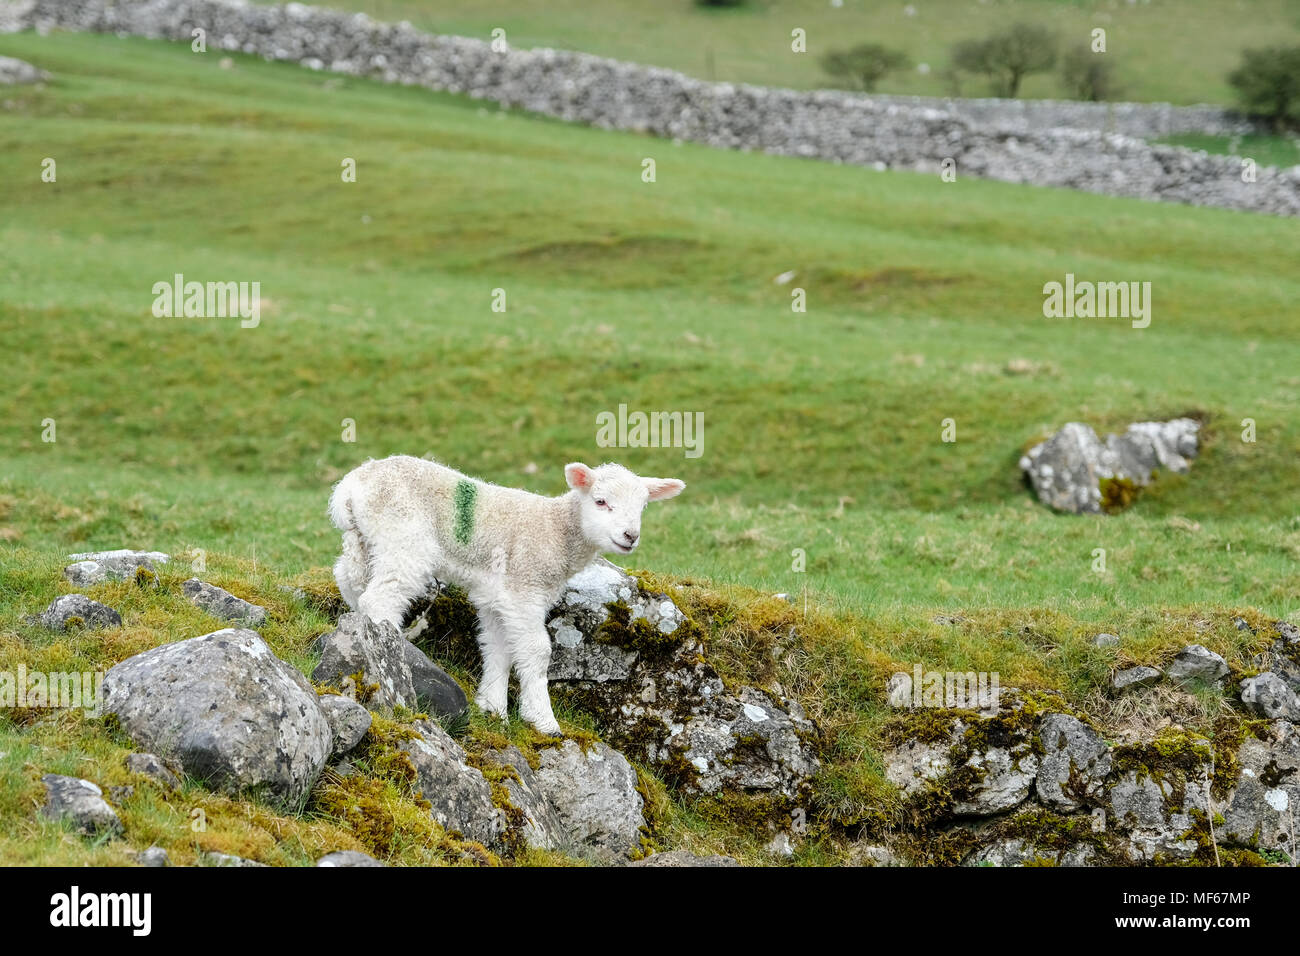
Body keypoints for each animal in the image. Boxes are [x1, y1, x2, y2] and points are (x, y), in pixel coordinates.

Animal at [329, 455, 685, 734]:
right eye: (600, 501)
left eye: (643, 507)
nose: (630, 536)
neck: (557, 531)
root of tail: (351, 486)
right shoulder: (523, 590)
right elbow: (537, 651)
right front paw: (543, 720)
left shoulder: (497, 597)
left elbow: (498, 649)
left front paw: (493, 709)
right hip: (403, 535)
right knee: (381, 597)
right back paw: (389, 649)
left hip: (364, 537)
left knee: (350, 578)